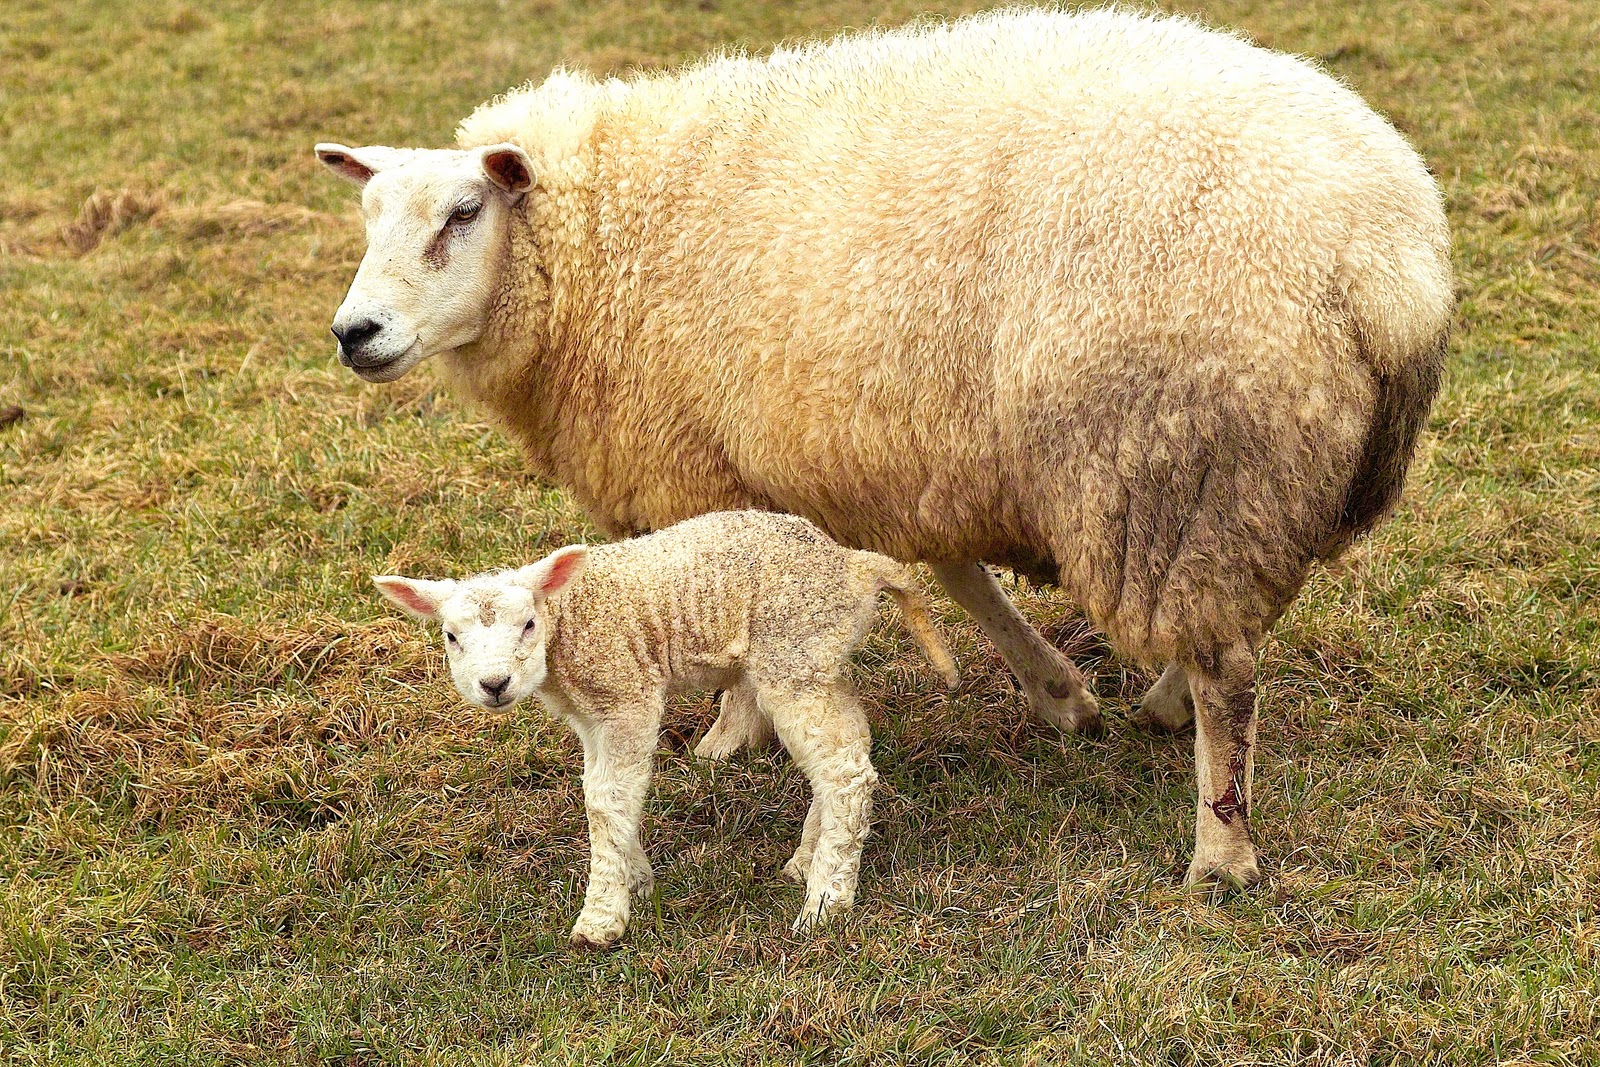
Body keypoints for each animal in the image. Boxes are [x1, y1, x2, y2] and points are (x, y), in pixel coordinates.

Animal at [318, 7, 1452, 888]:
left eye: (464, 211)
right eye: (365, 213)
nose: (354, 333)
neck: (606, 242)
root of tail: (1390, 257)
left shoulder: (714, 466)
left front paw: (730, 734)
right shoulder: (907, 447)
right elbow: (955, 575)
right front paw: (1059, 693)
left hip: (1175, 452)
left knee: (1229, 669)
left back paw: (1220, 852)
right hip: (1249, 471)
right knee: (1231, 617)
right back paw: (1166, 706)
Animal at [373, 510, 958, 947]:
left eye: (529, 625)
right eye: (451, 637)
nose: (494, 684)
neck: (569, 621)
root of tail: (855, 564)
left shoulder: (624, 697)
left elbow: (607, 800)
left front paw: (602, 915)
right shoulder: (591, 716)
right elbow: (601, 794)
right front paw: (635, 878)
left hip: (794, 651)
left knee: (845, 773)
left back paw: (825, 902)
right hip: (819, 659)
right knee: (848, 753)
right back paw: (803, 862)